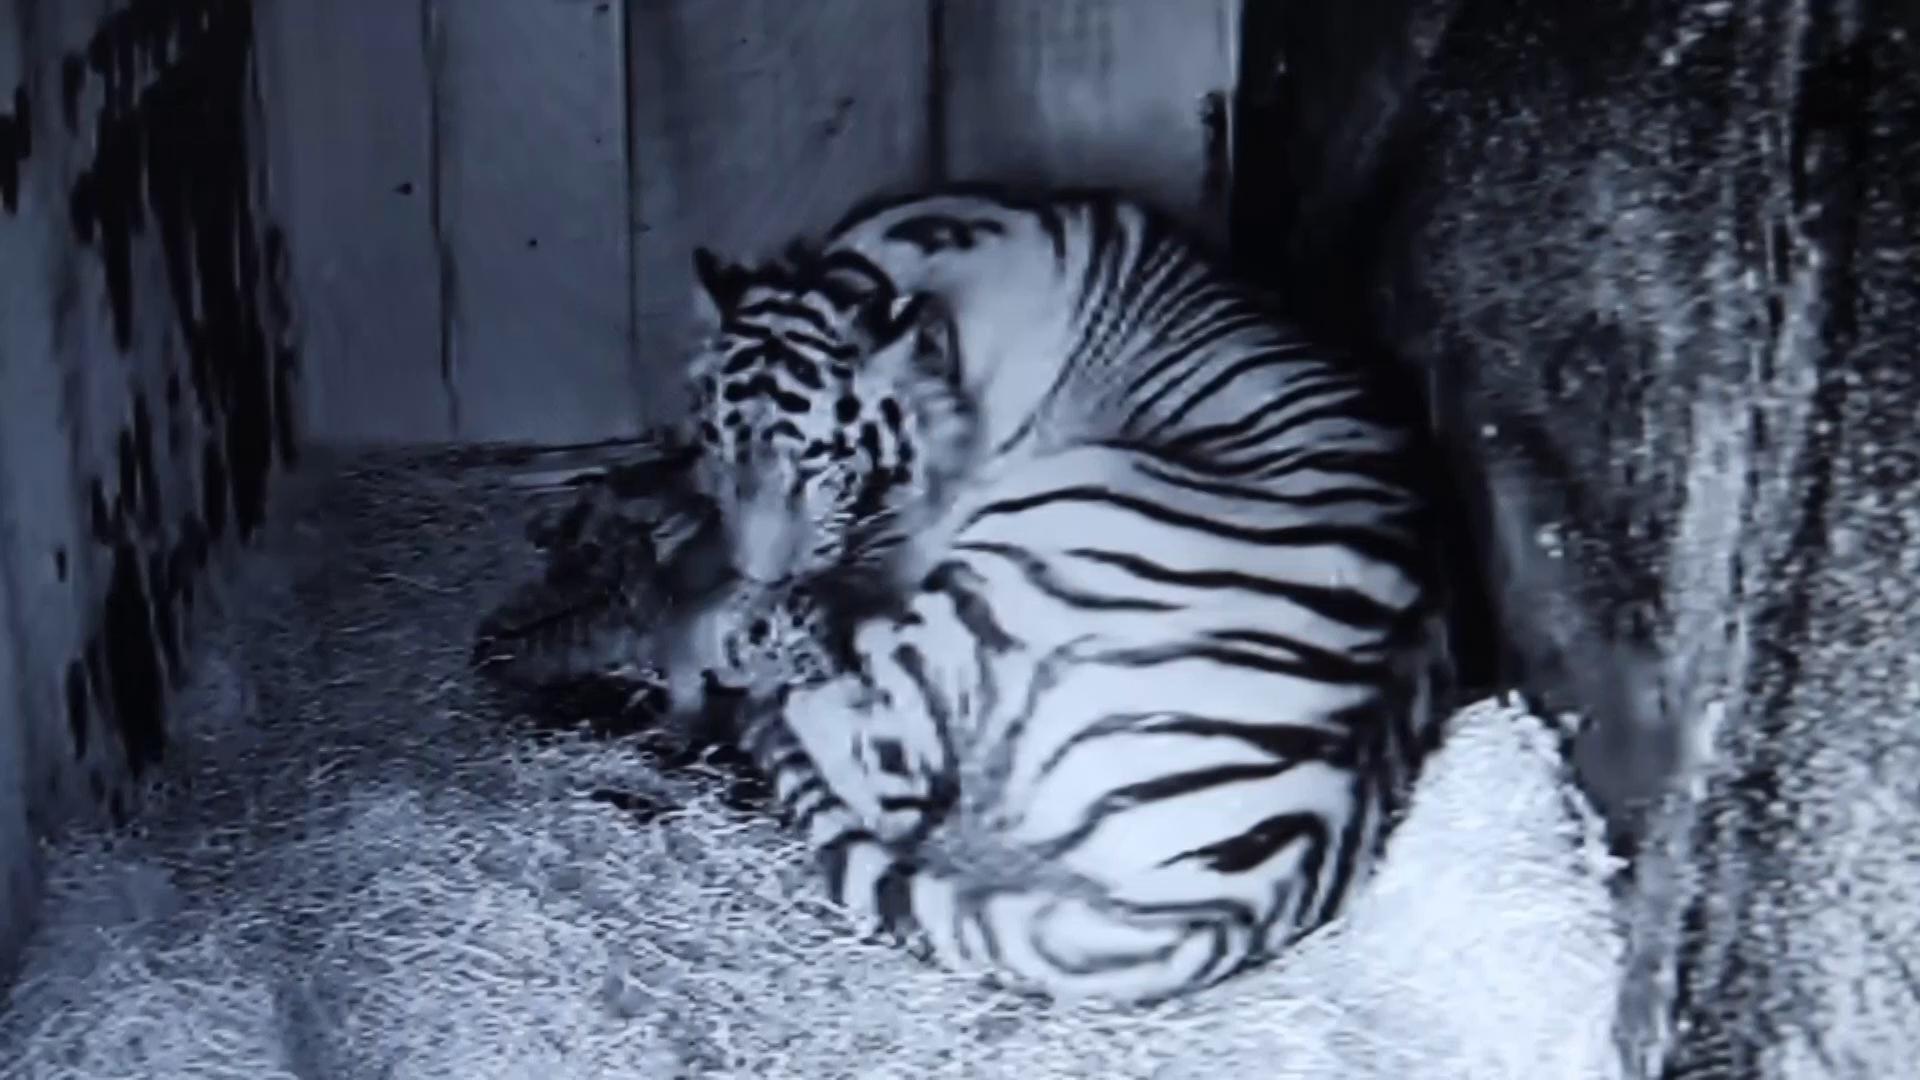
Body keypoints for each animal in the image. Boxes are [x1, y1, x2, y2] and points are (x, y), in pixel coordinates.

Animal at [666, 184, 1455, 1004]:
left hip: (1046, 523)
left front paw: (735, 625)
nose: (766, 575)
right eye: (720, 448)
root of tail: (1306, 832)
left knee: (876, 764)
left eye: (823, 470)